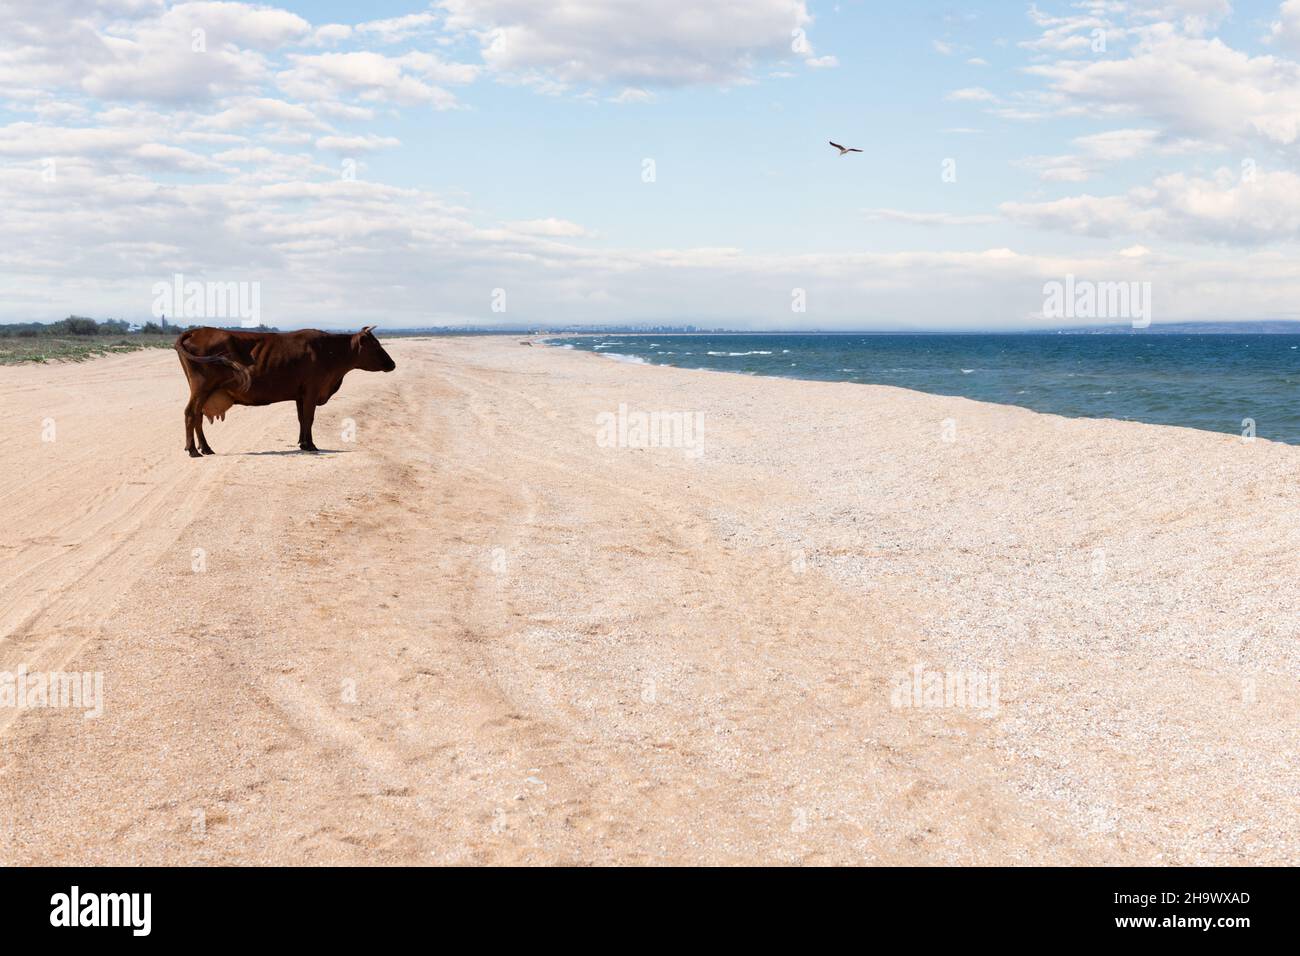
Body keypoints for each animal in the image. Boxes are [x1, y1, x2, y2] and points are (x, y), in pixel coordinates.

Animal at [174, 326, 396, 457]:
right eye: (376, 345)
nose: (392, 364)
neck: (330, 351)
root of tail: (196, 330)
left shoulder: (300, 394)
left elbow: (301, 418)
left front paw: (302, 443)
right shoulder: (312, 391)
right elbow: (308, 418)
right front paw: (310, 445)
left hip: (203, 391)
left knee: (197, 416)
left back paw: (205, 448)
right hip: (202, 387)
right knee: (190, 414)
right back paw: (193, 450)